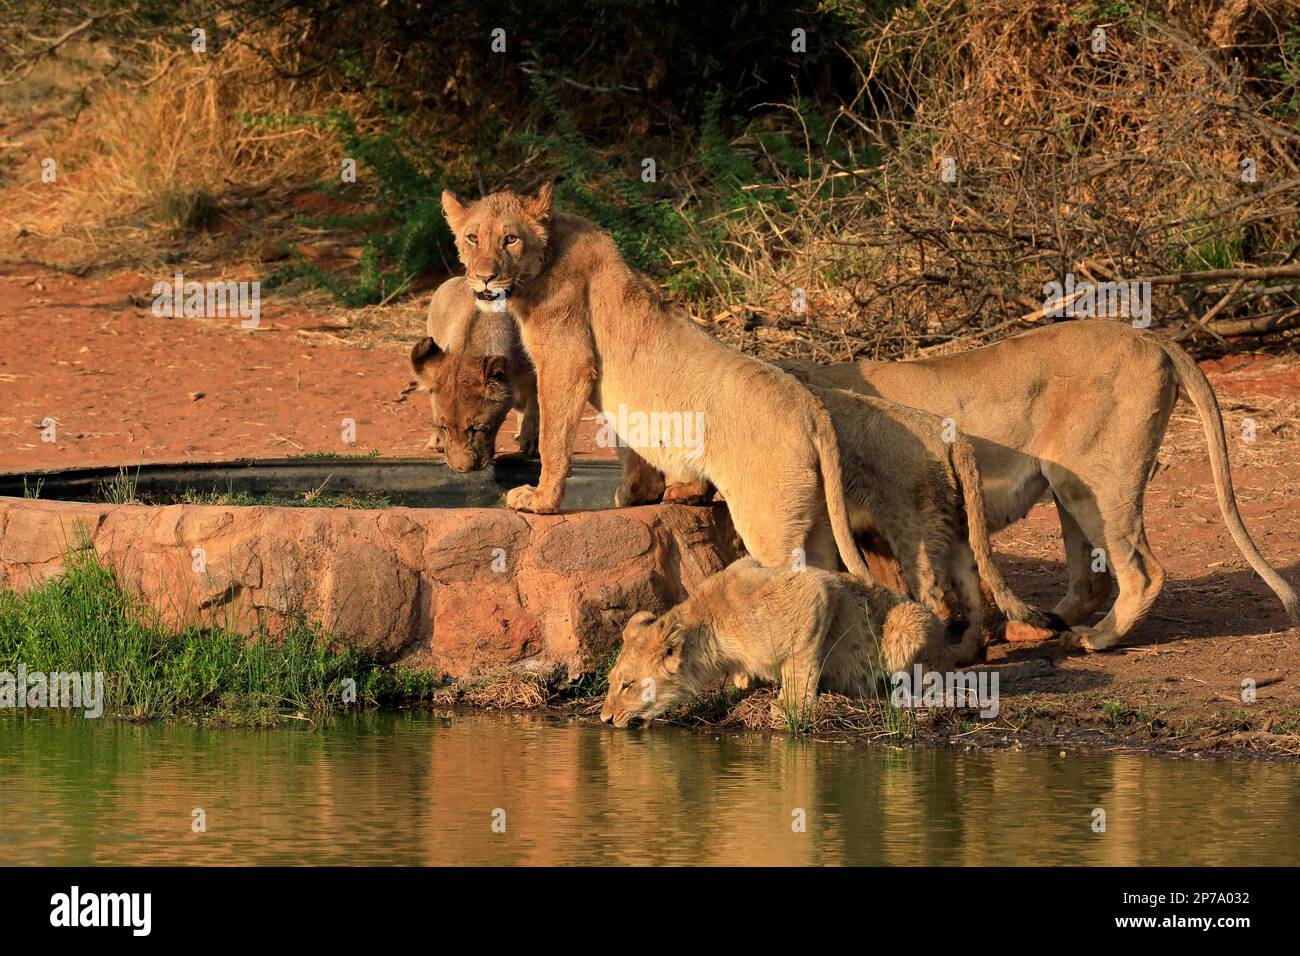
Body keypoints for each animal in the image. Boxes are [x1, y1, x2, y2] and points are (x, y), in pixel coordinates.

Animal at [439, 184, 875, 579]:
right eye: (472, 238)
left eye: (510, 238)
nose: (485, 277)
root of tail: (811, 409)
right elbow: (628, 446)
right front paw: (636, 494)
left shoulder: (567, 360)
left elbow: (553, 437)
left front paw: (541, 500)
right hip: (815, 522)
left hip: (768, 518)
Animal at [598, 557, 973, 728]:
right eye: (613, 682)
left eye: (628, 685)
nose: (604, 719)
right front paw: (743, 683)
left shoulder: (814, 594)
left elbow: (802, 662)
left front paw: (790, 704)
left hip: (905, 624)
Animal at [777, 320, 1300, 651]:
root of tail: (1150, 336)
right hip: (1071, 486)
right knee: (1091, 581)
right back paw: (1028, 630)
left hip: (1089, 482)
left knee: (1142, 572)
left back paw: (1094, 639)